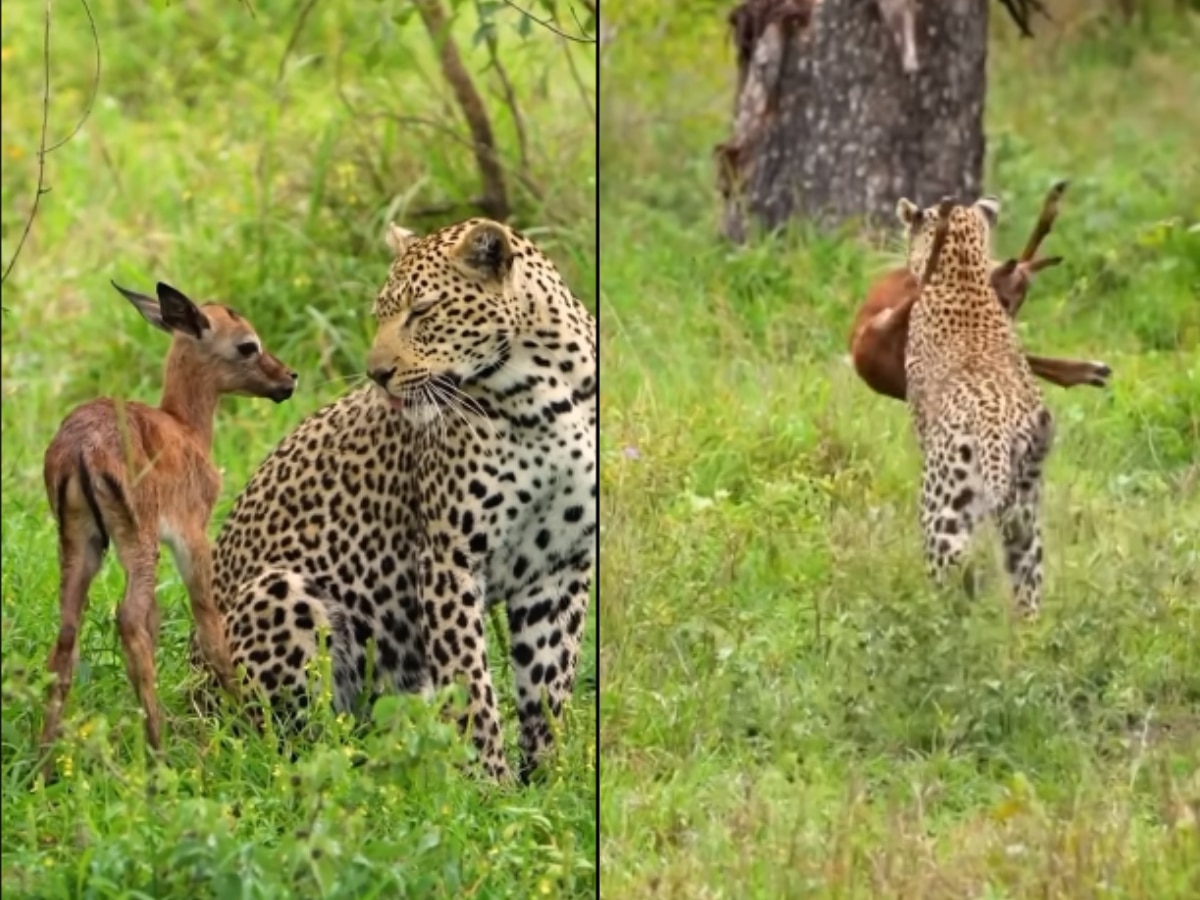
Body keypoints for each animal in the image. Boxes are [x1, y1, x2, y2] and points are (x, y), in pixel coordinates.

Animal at [39, 281, 298, 776]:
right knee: (129, 619)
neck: (186, 429)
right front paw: (249, 725)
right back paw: (159, 753)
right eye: (247, 344)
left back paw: (43, 765)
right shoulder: (190, 537)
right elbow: (208, 625)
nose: (288, 378)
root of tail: (79, 450)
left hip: (80, 544)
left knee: (67, 633)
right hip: (136, 543)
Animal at [206, 217, 597, 781]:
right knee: (284, 745)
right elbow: (471, 683)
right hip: (280, 594)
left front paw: (546, 781)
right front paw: (491, 784)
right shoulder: (448, 559)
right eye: (381, 316)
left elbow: (549, 682)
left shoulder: (560, 564)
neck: (544, 396)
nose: (377, 374)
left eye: (422, 311)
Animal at [896, 195, 1055, 616]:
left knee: (951, 577)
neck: (963, 275)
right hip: (1025, 516)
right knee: (1027, 587)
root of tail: (996, 427)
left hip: (943, 511)